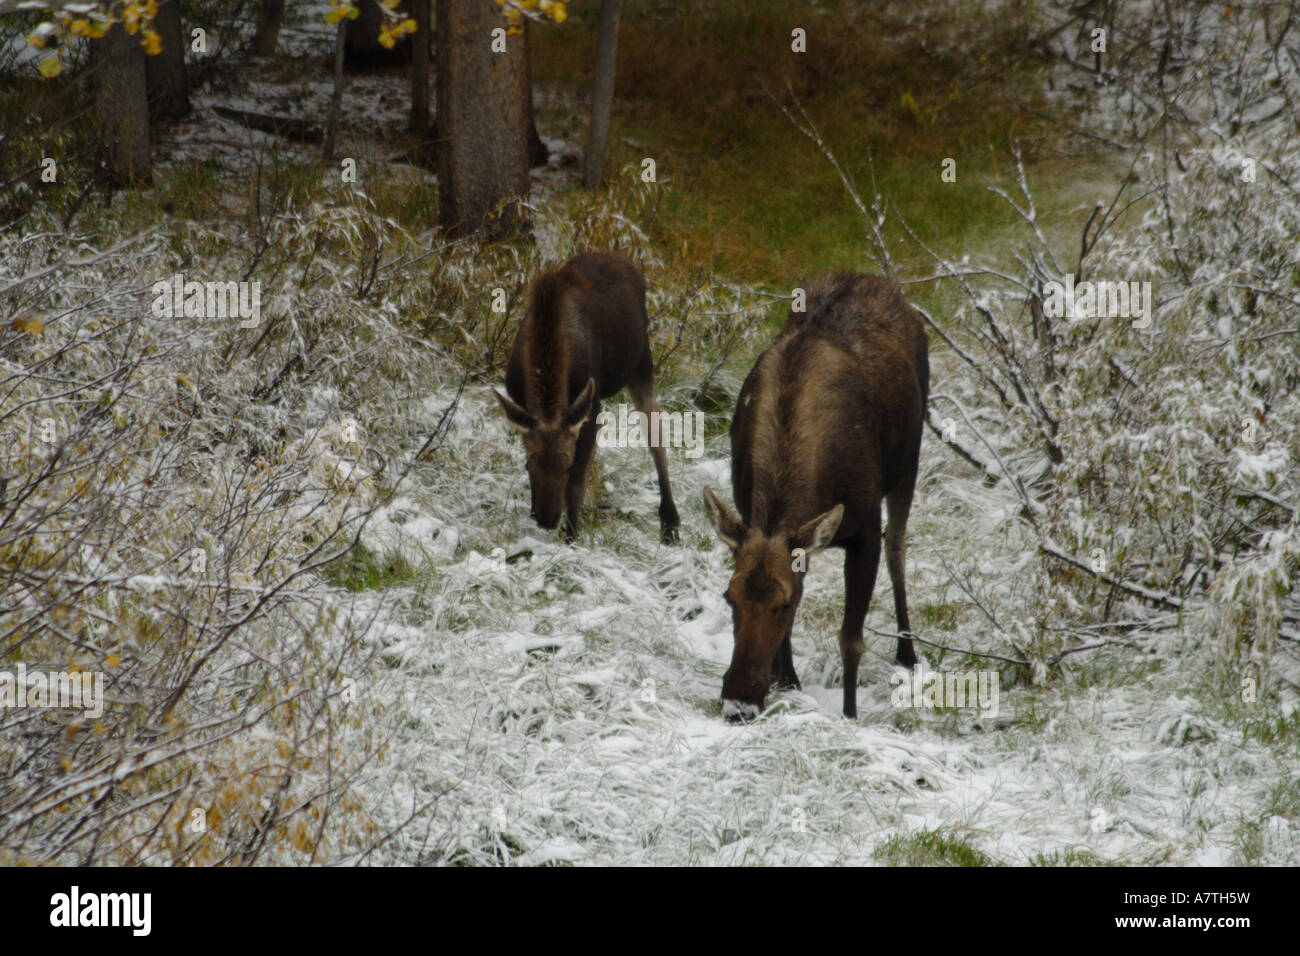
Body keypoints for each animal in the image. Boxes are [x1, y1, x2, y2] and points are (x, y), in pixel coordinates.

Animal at [493, 251, 680, 544]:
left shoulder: (591, 409)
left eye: (566, 466)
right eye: (528, 465)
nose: (547, 520)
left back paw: (670, 521)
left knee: (656, 434)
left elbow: (579, 479)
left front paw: (572, 532)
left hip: (641, 364)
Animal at [703, 273, 929, 721]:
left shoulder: (862, 530)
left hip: (909, 461)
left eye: (784, 604)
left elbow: (851, 638)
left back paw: (907, 651)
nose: (739, 701)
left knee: (897, 546)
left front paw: (850, 715)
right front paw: (787, 679)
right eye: (728, 596)